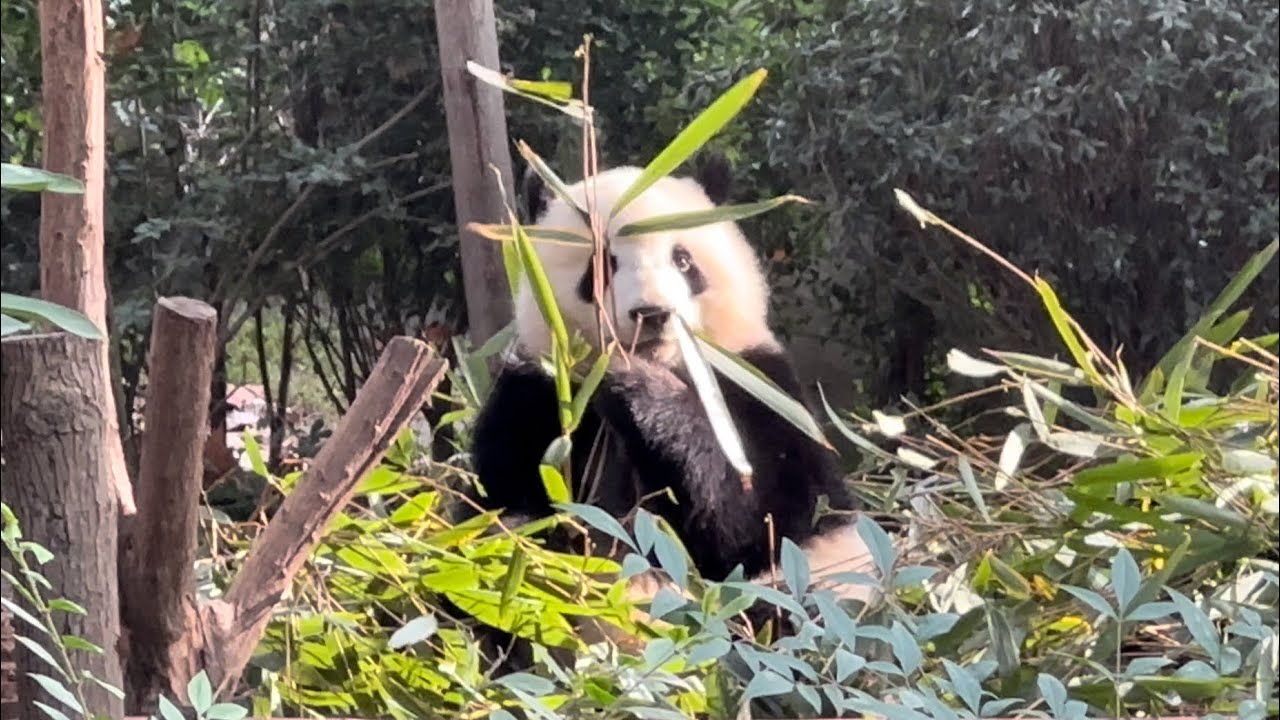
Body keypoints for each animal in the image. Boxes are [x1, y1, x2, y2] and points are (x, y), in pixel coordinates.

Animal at [457, 157, 882, 657]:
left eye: (683, 260)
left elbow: (762, 519)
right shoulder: (534, 399)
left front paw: (643, 391)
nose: (653, 313)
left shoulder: (762, 388)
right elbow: (494, 508)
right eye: (603, 263)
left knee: (785, 610)